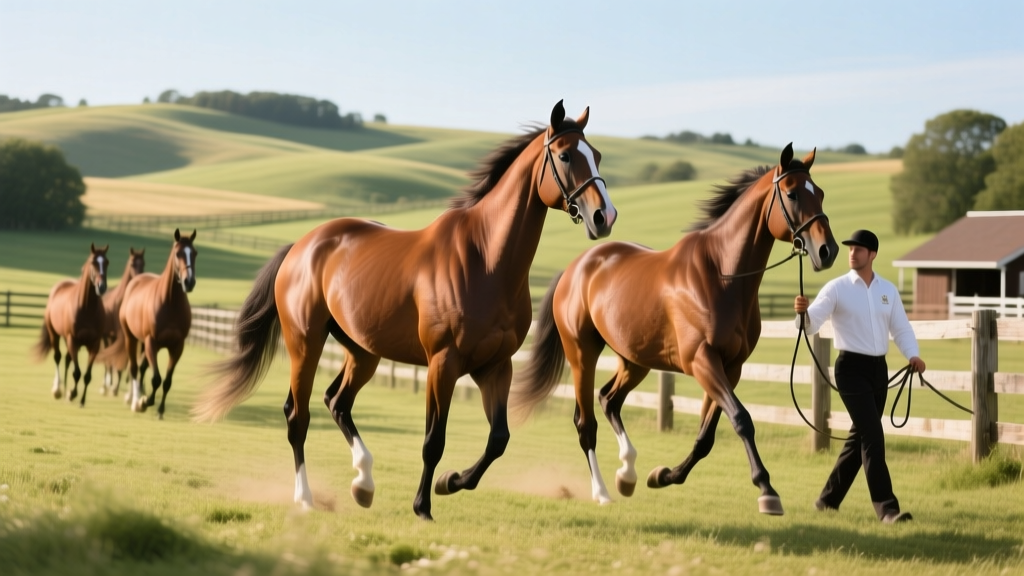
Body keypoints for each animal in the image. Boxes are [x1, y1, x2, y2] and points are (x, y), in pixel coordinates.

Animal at [34, 243, 110, 406]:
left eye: (107, 262)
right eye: (93, 262)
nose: (101, 287)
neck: (87, 309)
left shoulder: (94, 344)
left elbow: (87, 375)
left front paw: (81, 400)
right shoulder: (73, 341)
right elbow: (77, 372)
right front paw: (71, 394)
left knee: (67, 360)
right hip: (55, 335)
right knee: (58, 357)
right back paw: (58, 390)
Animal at [100, 247, 146, 397]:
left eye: (143, 263)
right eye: (132, 263)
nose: (139, 278)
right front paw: (113, 387)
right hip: (107, 337)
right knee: (107, 361)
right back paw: (106, 385)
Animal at [193, 100, 618, 521]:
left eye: (596, 155)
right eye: (565, 156)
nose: (604, 217)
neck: (486, 261)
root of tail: (301, 247)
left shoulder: (495, 367)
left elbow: (498, 439)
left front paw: (451, 482)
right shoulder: (442, 364)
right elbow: (434, 440)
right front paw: (423, 506)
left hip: (363, 352)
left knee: (337, 402)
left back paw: (363, 483)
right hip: (306, 345)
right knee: (298, 417)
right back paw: (306, 498)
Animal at [510, 144, 839, 516]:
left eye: (820, 193)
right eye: (793, 194)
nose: (827, 250)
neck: (722, 275)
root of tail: (575, 268)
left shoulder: (731, 367)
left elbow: (707, 436)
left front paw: (663, 475)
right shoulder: (702, 361)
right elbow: (742, 419)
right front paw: (767, 491)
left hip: (634, 360)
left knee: (609, 399)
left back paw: (627, 474)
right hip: (583, 354)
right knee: (586, 422)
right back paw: (603, 491)